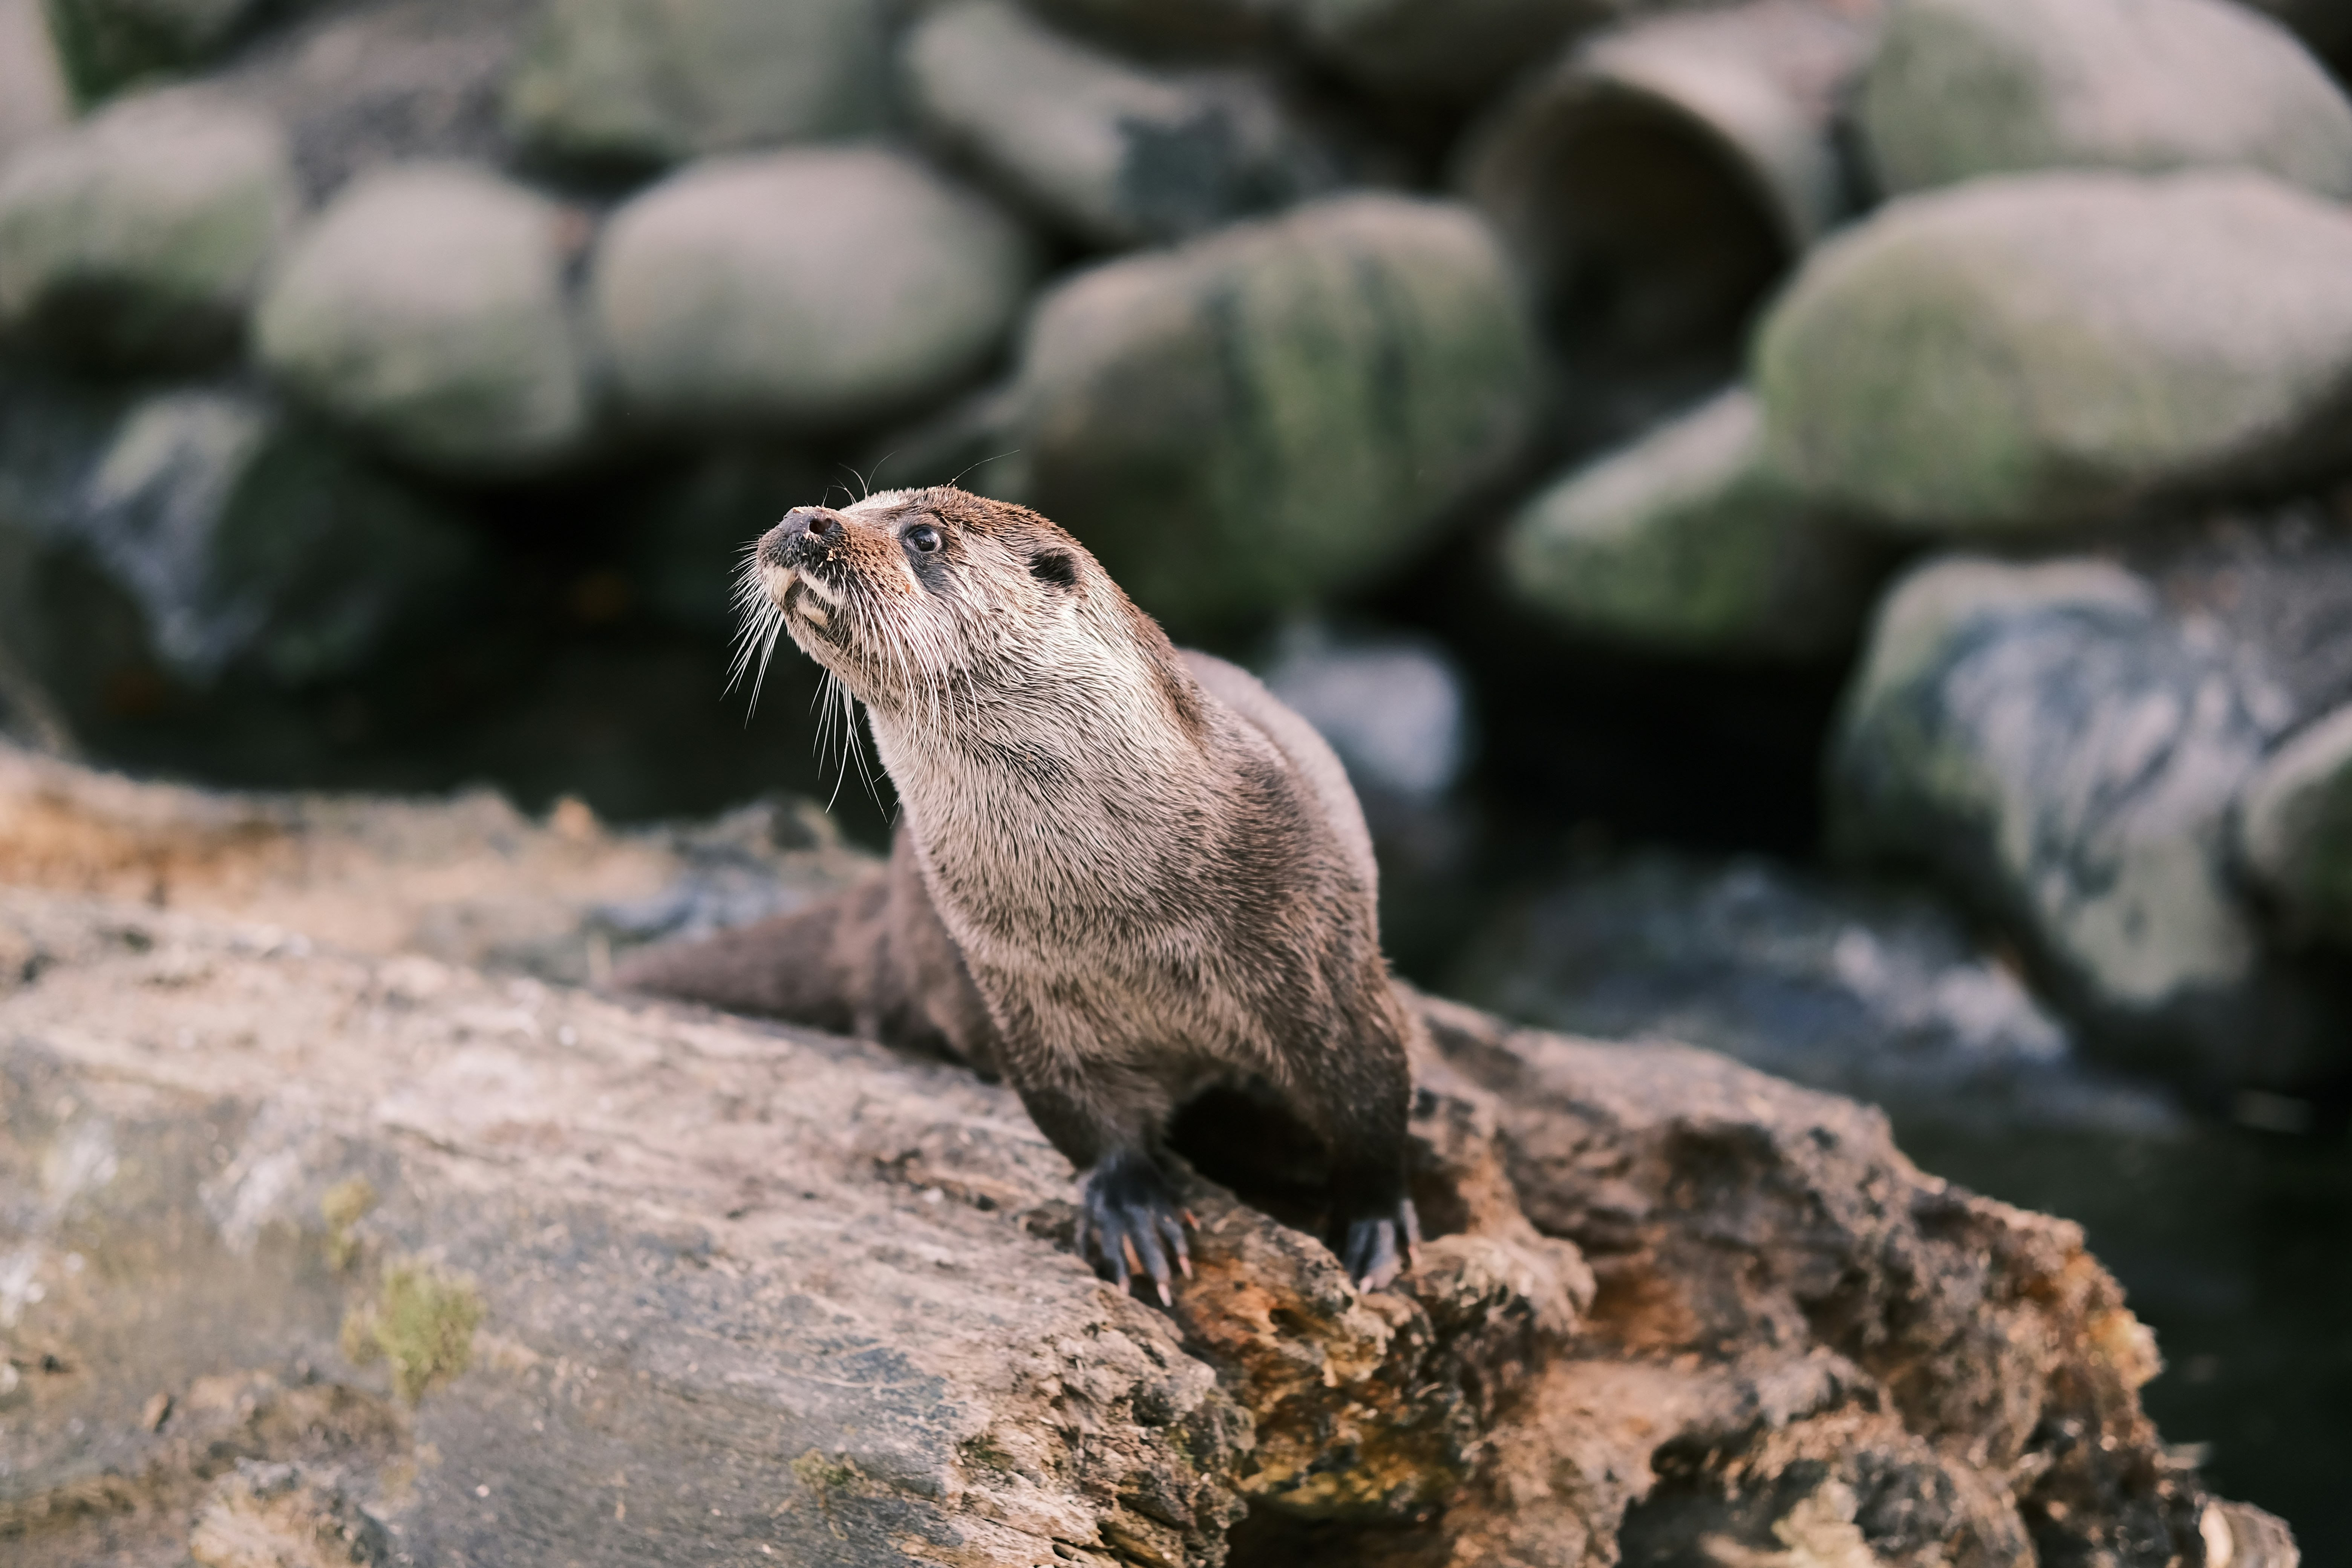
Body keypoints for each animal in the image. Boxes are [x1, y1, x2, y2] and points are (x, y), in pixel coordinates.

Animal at [638, 486, 1421, 1296]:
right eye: (857, 503)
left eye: (923, 536)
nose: (806, 519)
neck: (1125, 919)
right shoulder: (1023, 995)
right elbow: (1081, 1122)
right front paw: (1131, 1211)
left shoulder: (1317, 951)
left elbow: (1370, 1099)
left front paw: (1375, 1227)